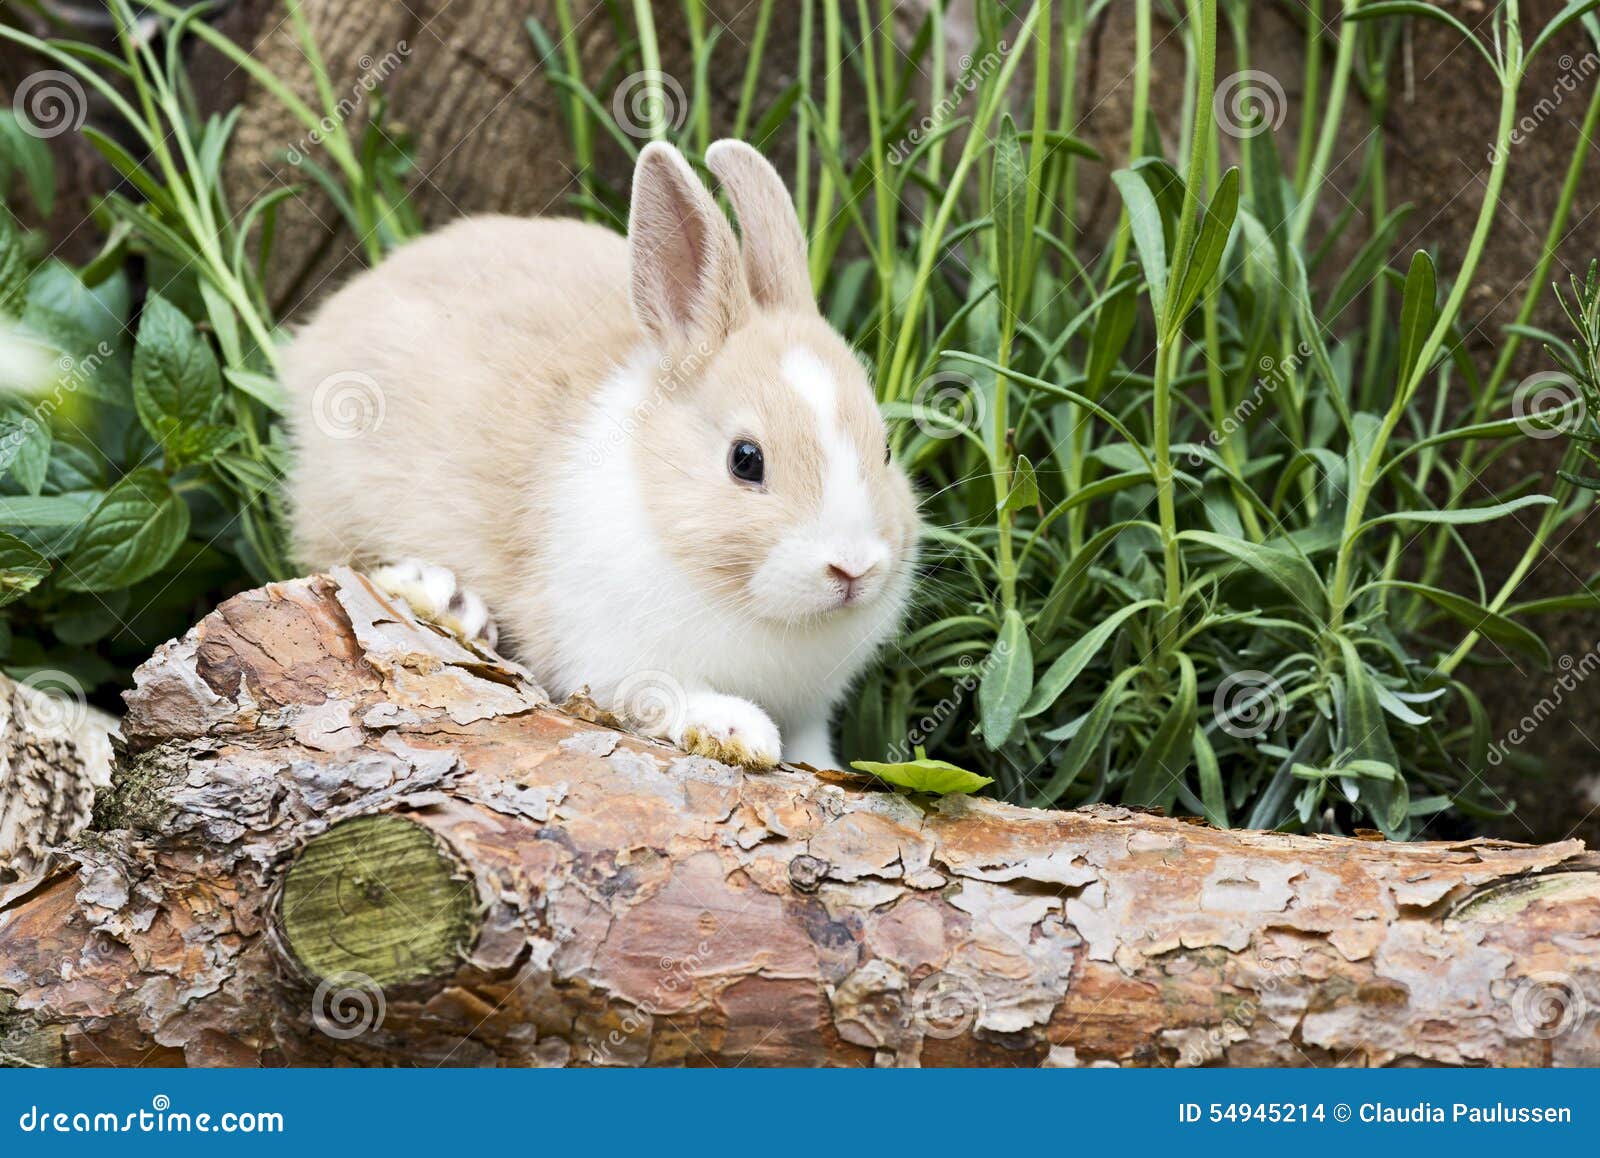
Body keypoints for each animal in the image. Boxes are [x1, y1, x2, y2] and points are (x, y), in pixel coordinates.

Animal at [280, 139, 920, 771]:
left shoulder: (811, 708)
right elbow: (668, 693)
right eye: (746, 460)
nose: (853, 568)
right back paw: (443, 598)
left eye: (886, 449)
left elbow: (812, 745)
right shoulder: (611, 657)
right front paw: (740, 731)